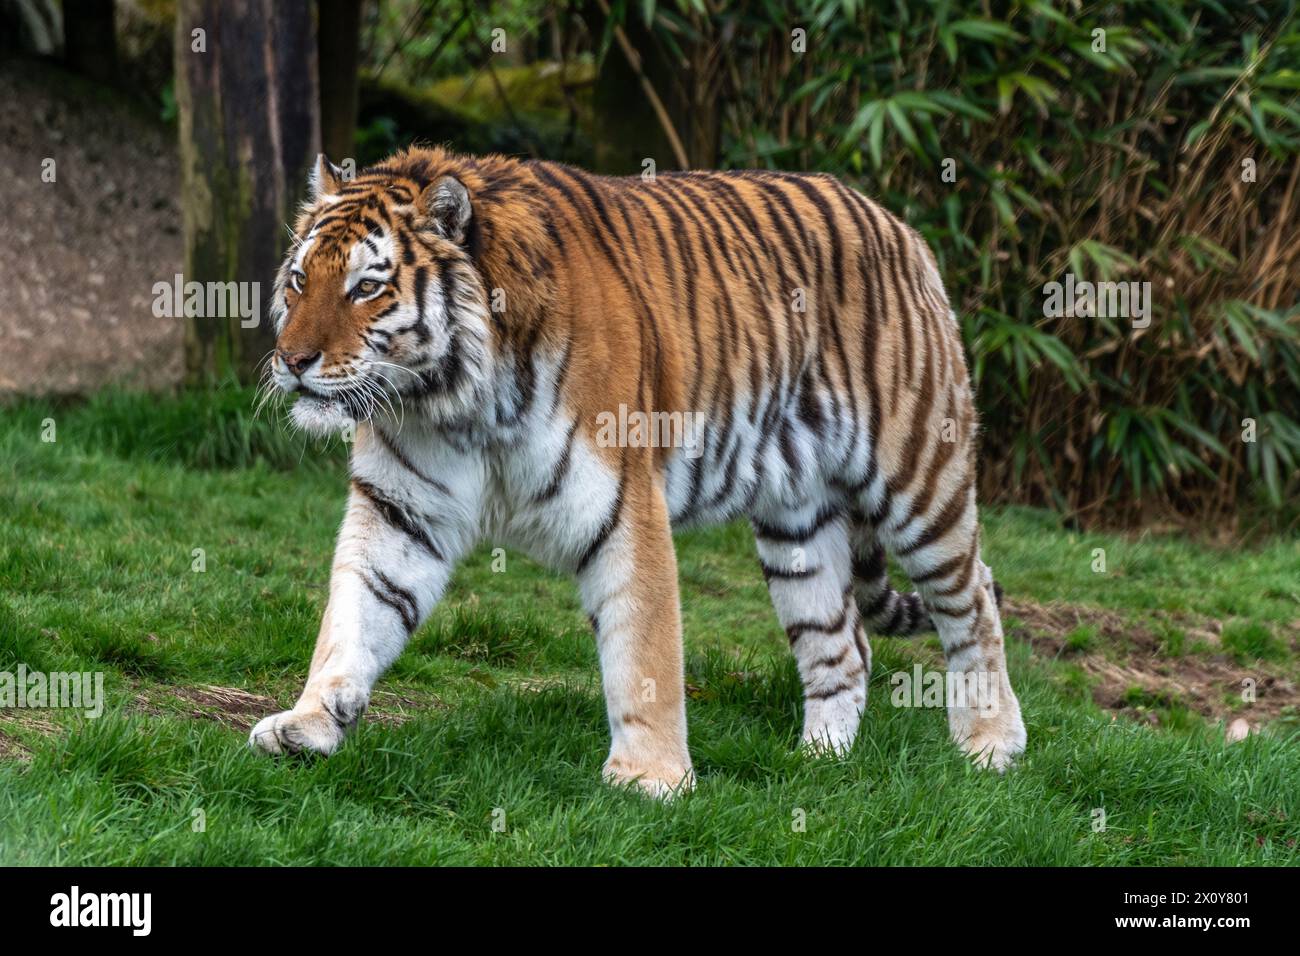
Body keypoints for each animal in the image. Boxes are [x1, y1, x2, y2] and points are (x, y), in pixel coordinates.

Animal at [247, 145, 1026, 797]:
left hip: (918, 476)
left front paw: (651, 779)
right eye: (300, 278)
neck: (453, 399)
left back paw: (991, 743)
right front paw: (308, 722)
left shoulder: (624, 503)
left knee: (974, 600)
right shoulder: (401, 510)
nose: (291, 360)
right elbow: (353, 616)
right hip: (797, 524)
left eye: (366, 288)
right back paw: (819, 761)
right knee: (843, 644)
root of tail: (900, 226)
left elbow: (644, 653)